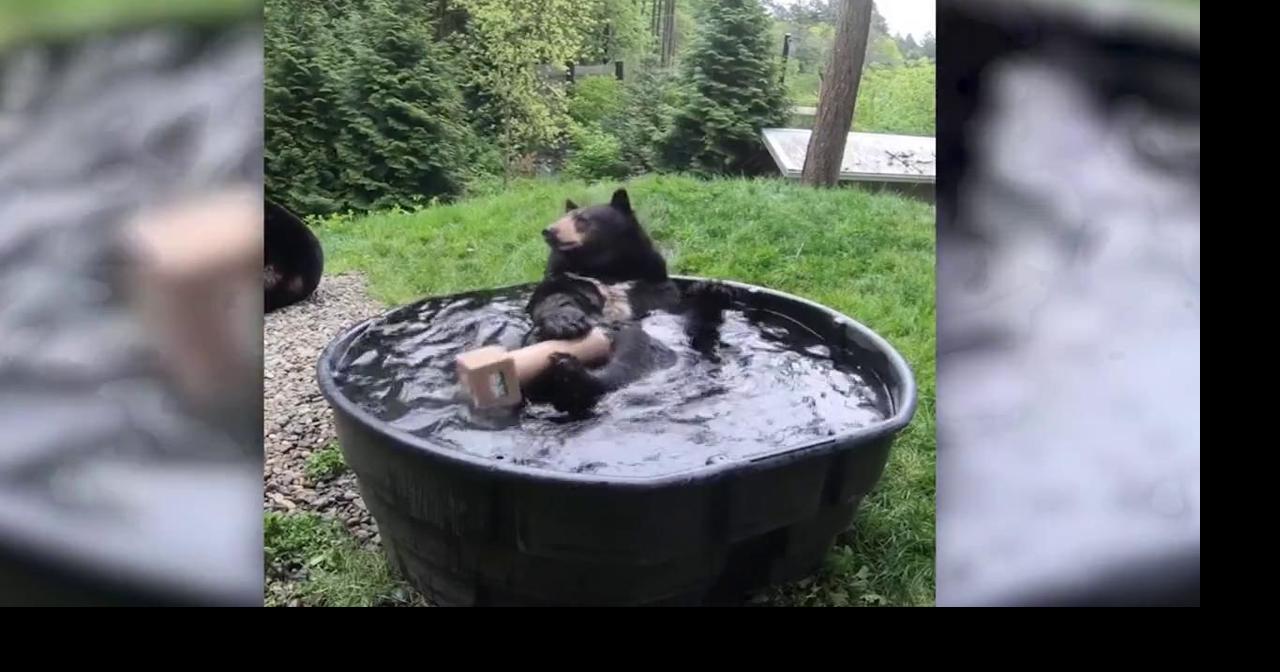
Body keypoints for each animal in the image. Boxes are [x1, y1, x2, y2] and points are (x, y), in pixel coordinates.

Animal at [520, 188, 734, 414]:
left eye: (582, 219)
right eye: (565, 217)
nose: (549, 231)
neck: (606, 271)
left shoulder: (652, 285)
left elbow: (674, 306)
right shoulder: (569, 279)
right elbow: (553, 297)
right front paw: (567, 322)